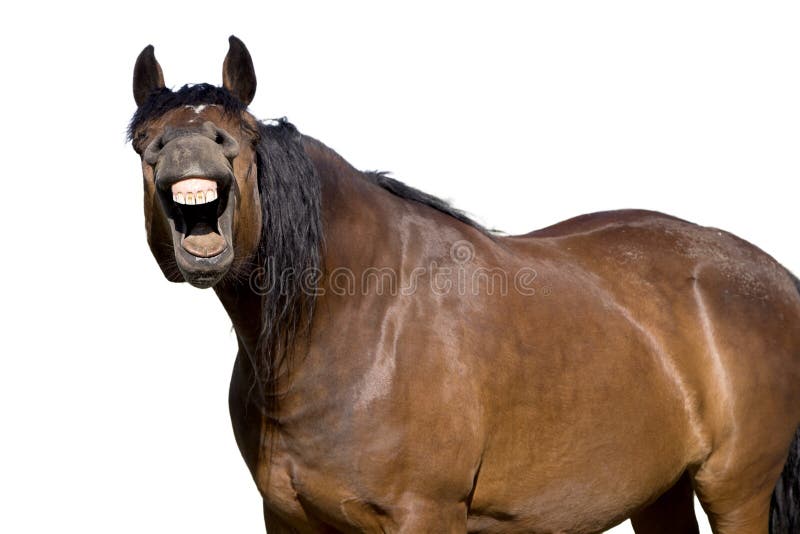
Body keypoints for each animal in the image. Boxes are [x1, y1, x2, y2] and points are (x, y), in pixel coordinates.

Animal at [129, 36, 800, 533]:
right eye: (144, 141)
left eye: (236, 136)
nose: (186, 155)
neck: (353, 322)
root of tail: (775, 276)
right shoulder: (288, 520)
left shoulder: (425, 513)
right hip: (661, 491)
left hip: (735, 492)